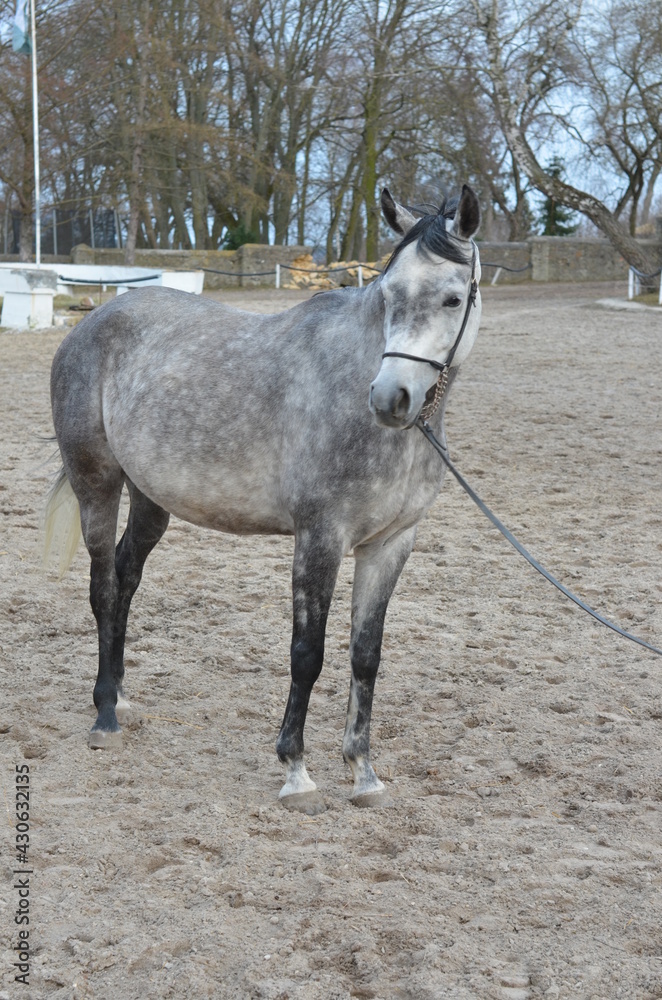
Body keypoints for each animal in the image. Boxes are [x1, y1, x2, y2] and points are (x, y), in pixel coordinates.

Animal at [45, 185, 482, 815]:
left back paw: (121, 695)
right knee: (103, 587)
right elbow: (308, 653)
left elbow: (365, 655)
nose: (390, 398)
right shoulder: (320, 538)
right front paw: (296, 770)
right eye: (388, 294)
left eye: (452, 298)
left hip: (150, 497)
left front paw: (363, 772)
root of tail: (93, 323)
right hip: (96, 484)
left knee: (126, 577)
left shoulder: (391, 544)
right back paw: (105, 715)